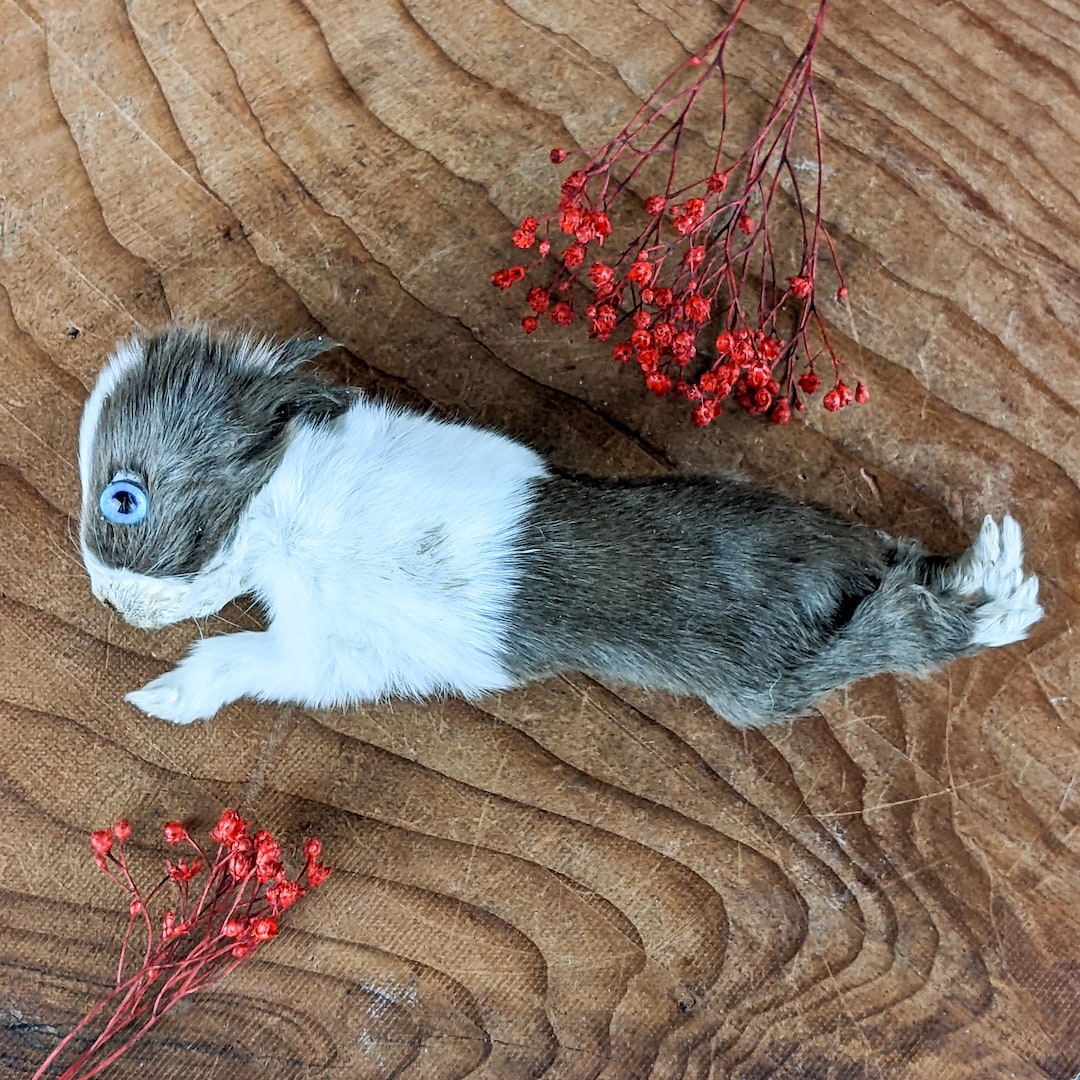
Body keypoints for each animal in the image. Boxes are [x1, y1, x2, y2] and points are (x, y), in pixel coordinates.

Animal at [78, 325, 1043, 727]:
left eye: (122, 499)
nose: (105, 599)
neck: (286, 512)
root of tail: (847, 558)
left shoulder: (320, 654)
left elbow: (232, 659)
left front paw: (160, 698)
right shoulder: (328, 651)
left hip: (759, 688)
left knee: (904, 629)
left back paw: (1005, 601)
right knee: (916, 578)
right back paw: (988, 569)